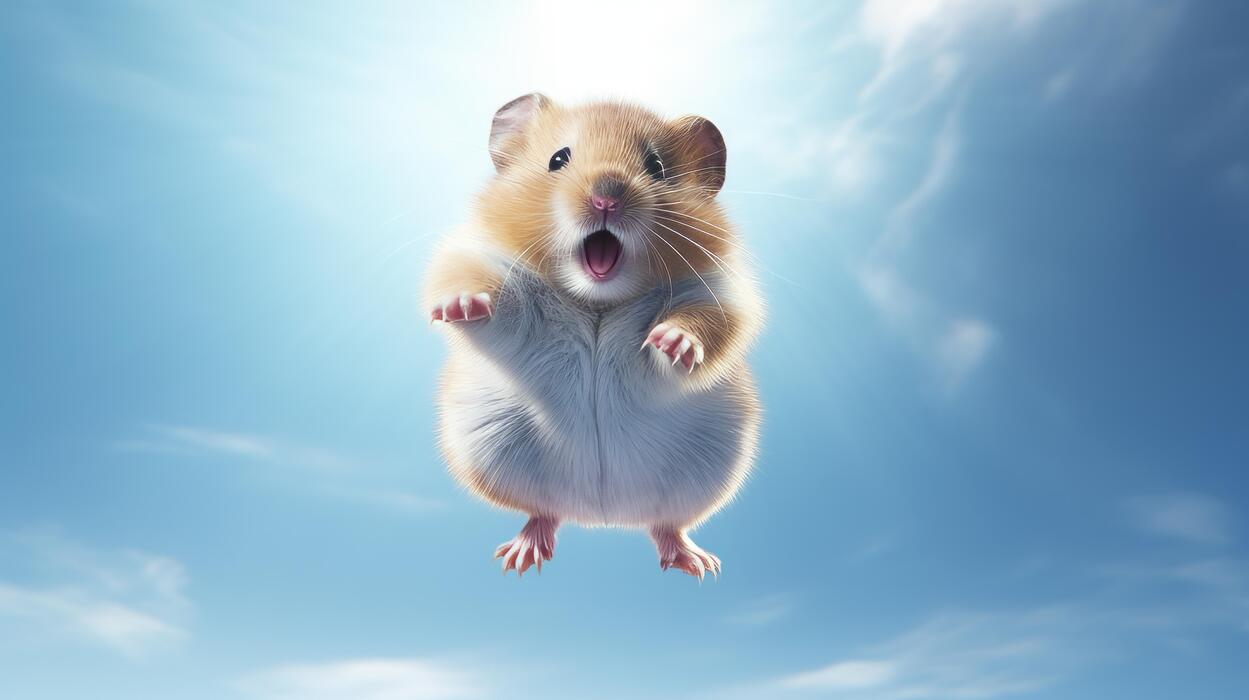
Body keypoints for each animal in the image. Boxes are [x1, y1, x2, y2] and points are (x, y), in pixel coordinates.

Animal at [424, 93, 762, 579]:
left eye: (657, 166)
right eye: (558, 159)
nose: (606, 199)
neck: (598, 303)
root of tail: (601, 516)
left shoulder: (721, 295)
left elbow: (700, 325)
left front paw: (671, 341)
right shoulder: (484, 264)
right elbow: (481, 295)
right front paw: (460, 305)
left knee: (667, 525)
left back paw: (699, 563)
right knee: (543, 511)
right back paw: (520, 556)